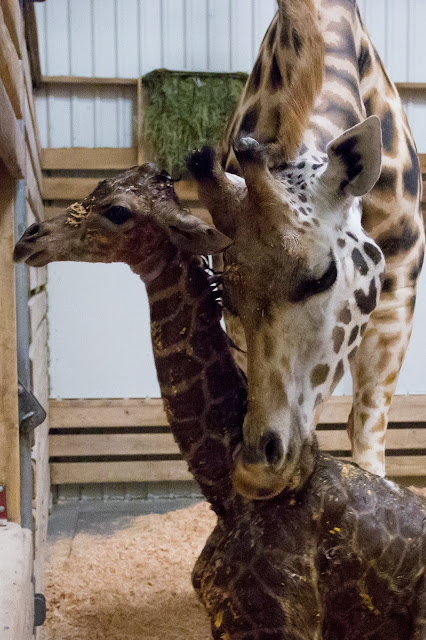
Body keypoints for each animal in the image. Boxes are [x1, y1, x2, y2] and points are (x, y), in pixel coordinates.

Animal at [189, 0, 425, 498]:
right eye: (224, 298)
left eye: (323, 276)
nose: (257, 469)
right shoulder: (236, 331)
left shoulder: (397, 297)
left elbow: (368, 425)